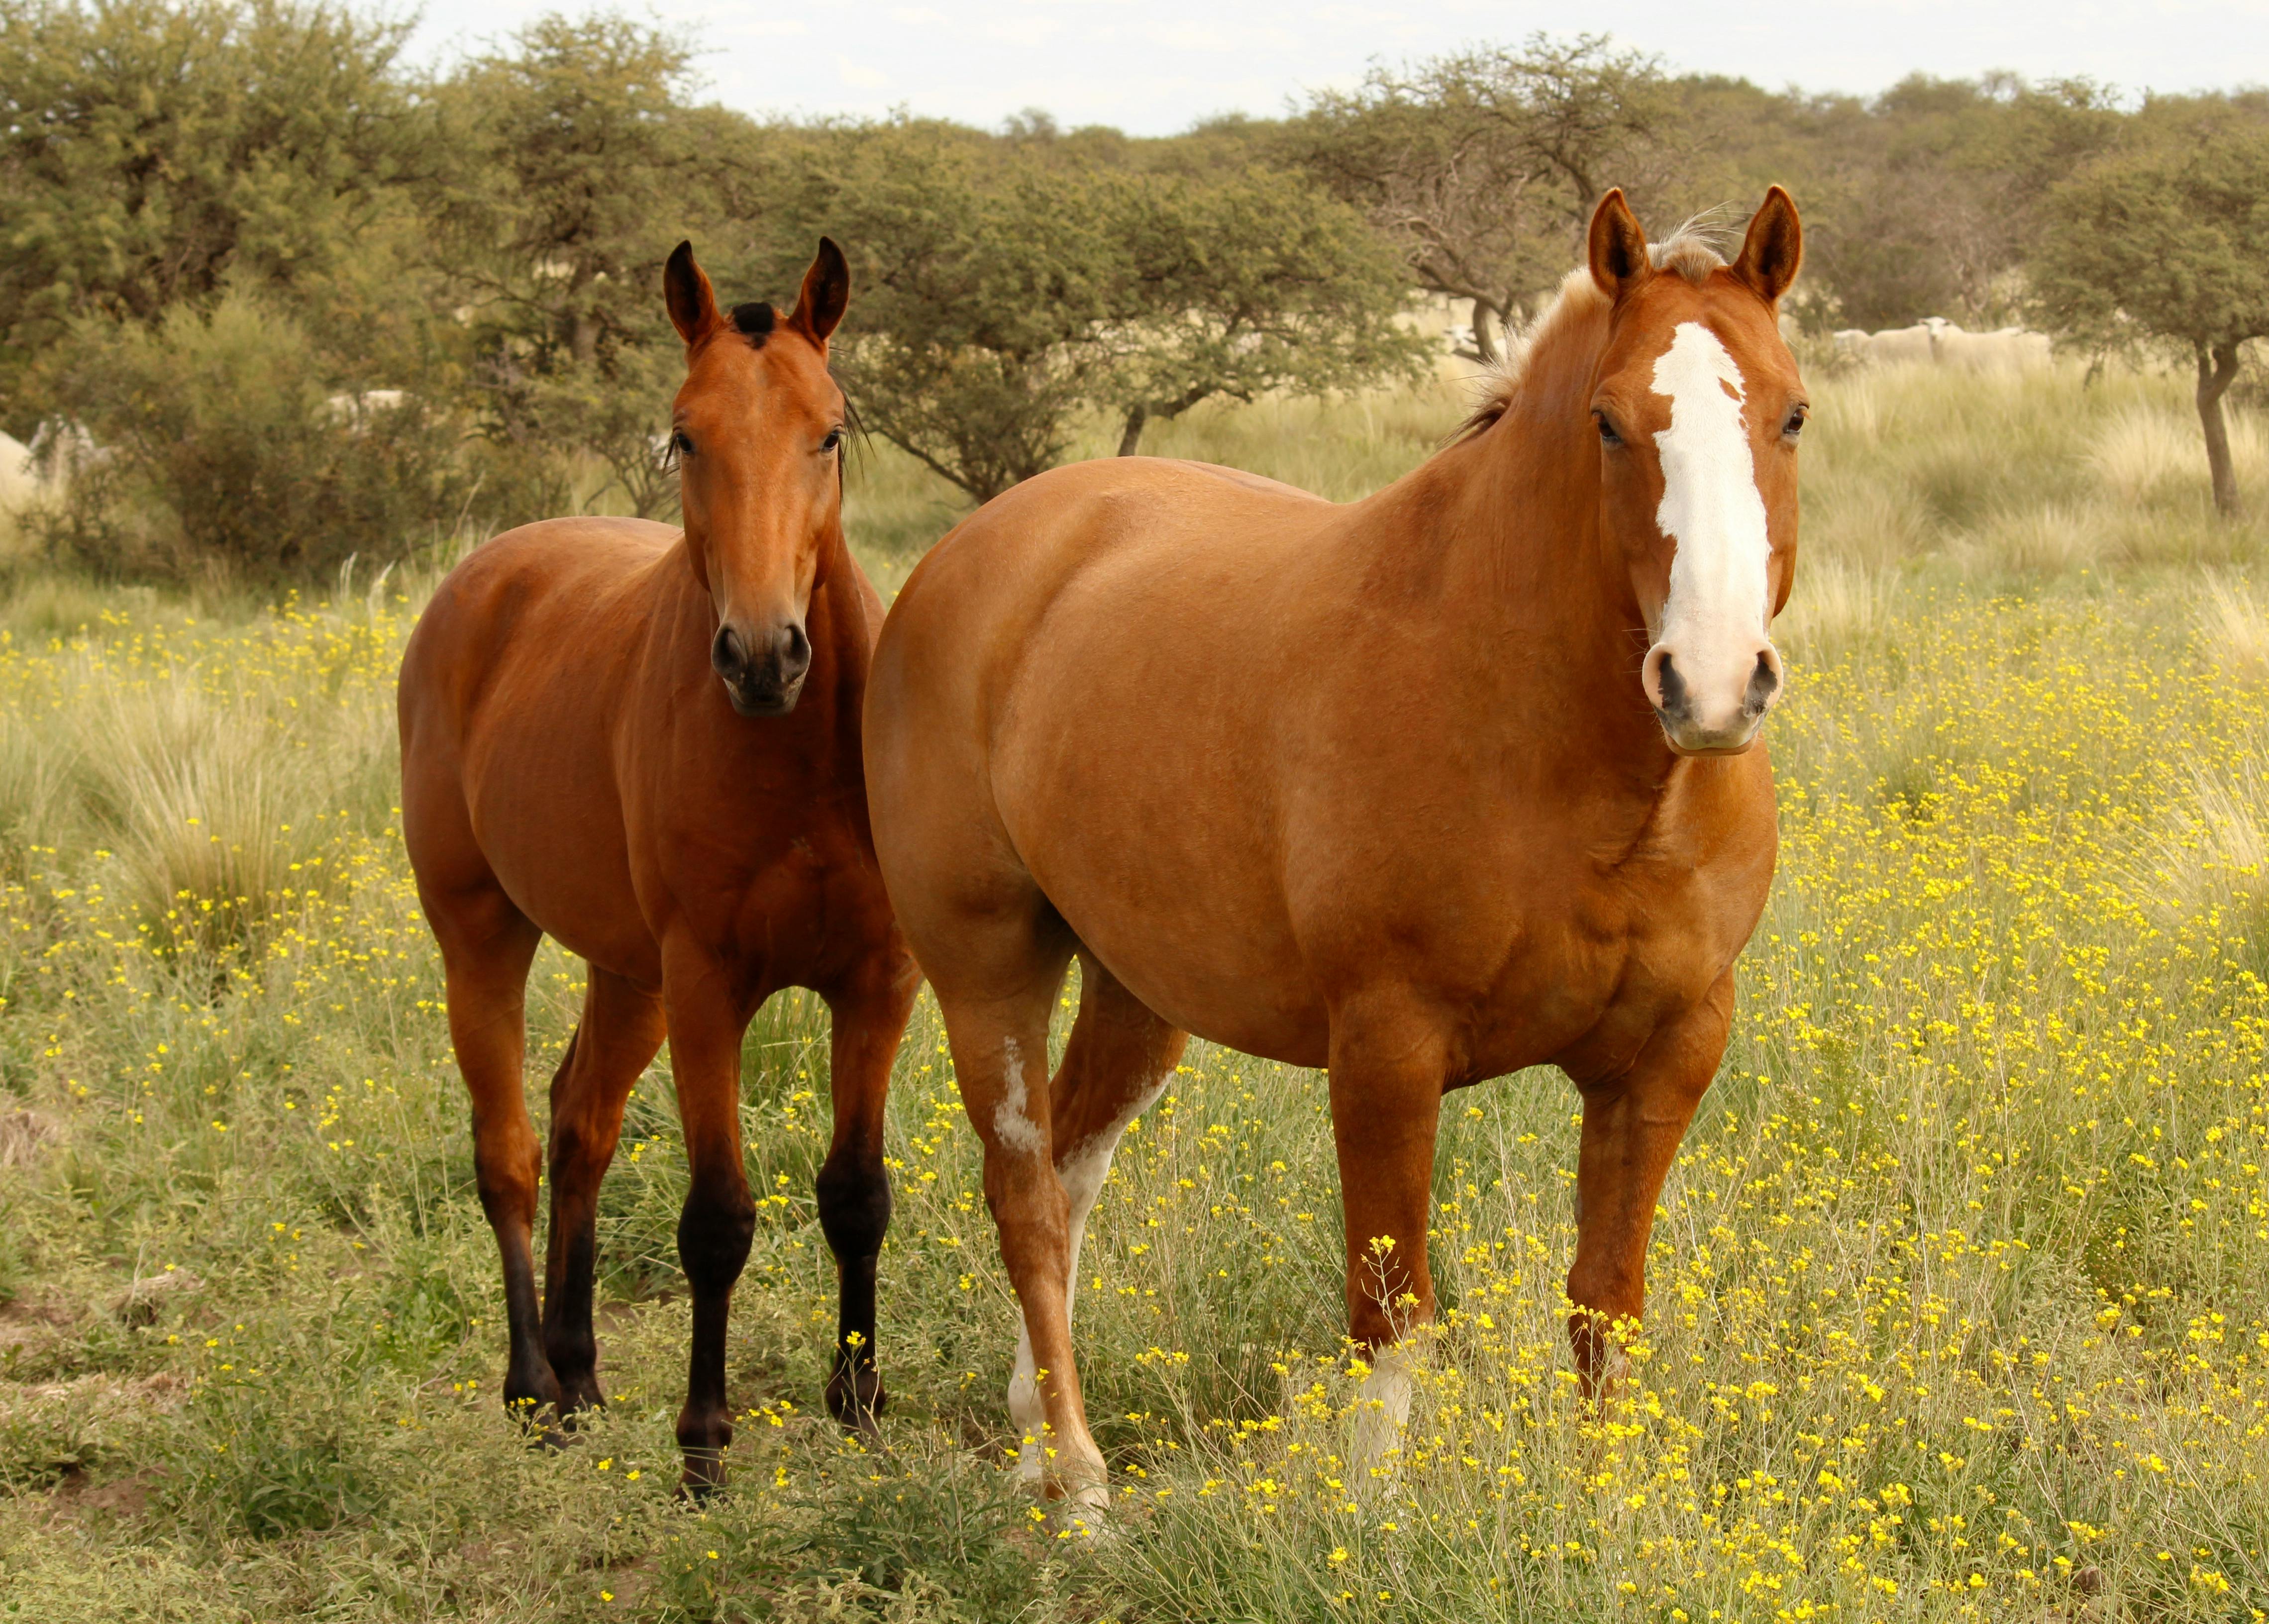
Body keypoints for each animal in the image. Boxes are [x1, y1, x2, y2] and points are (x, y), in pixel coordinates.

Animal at [398, 239, 918, 1492]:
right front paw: (704, 1440)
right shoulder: (709, 989)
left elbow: (857, 1196)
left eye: (830, 431)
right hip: (482, 937)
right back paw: (532, 1386)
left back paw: (581, 1374)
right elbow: (717, 1218)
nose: (765, 656)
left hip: (624, 973)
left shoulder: (875, 984)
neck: (795, 760)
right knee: (510, 1152)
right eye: (686, 436)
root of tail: (482, 579)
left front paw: (860, 1408)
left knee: (579, 1122)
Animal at [862, 188, 1806, 1510]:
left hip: (1139, 993)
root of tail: (983, 546)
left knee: (1071, 1165)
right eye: (1610, 423)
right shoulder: (1386, 1052)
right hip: (986, 968)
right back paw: (1080, 1478)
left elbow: (1604, 1308)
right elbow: (1392, 1311)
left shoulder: (1667, 1054)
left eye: (1791, 414)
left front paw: (1607, 1510)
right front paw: (1378, 1515)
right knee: (1024, 1195)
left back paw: (1034, 1433)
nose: (1712, 684)